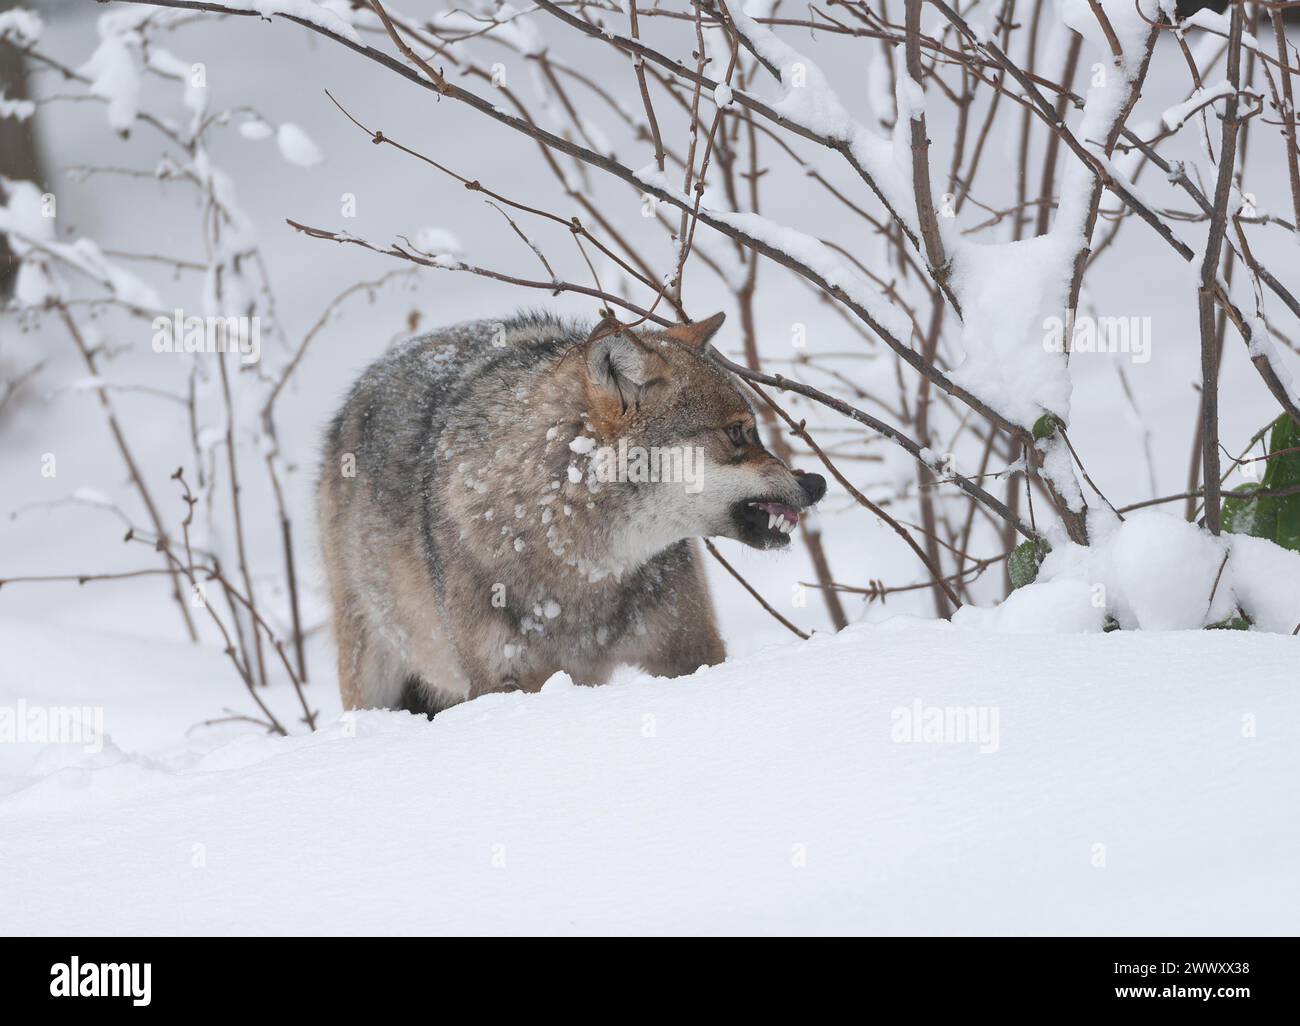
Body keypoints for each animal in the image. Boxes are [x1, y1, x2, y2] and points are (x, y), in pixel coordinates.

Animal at [319, 310, 826, 715]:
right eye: (737, 434)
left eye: (752, 430)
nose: (815, 483)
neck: (578, 560)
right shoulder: (501, 681)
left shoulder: (691, 647)